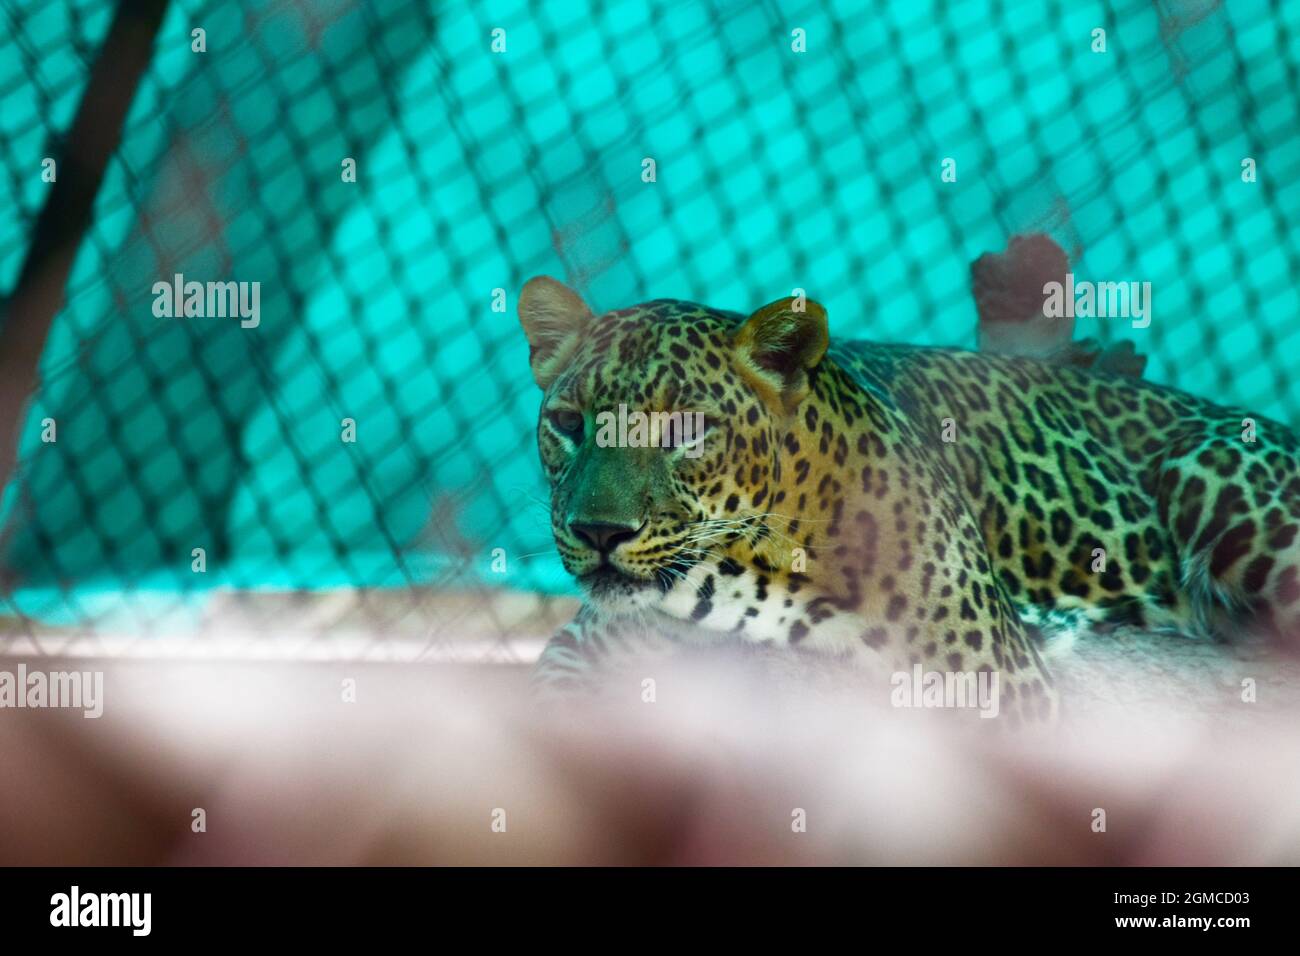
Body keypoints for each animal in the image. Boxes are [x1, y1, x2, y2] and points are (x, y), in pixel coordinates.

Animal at [517, 276, 1300, 724]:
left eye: (686, 430)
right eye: (569, 424)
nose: (598, 531)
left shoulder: (999, 684)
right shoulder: (586, 647)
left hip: (1213, 469)